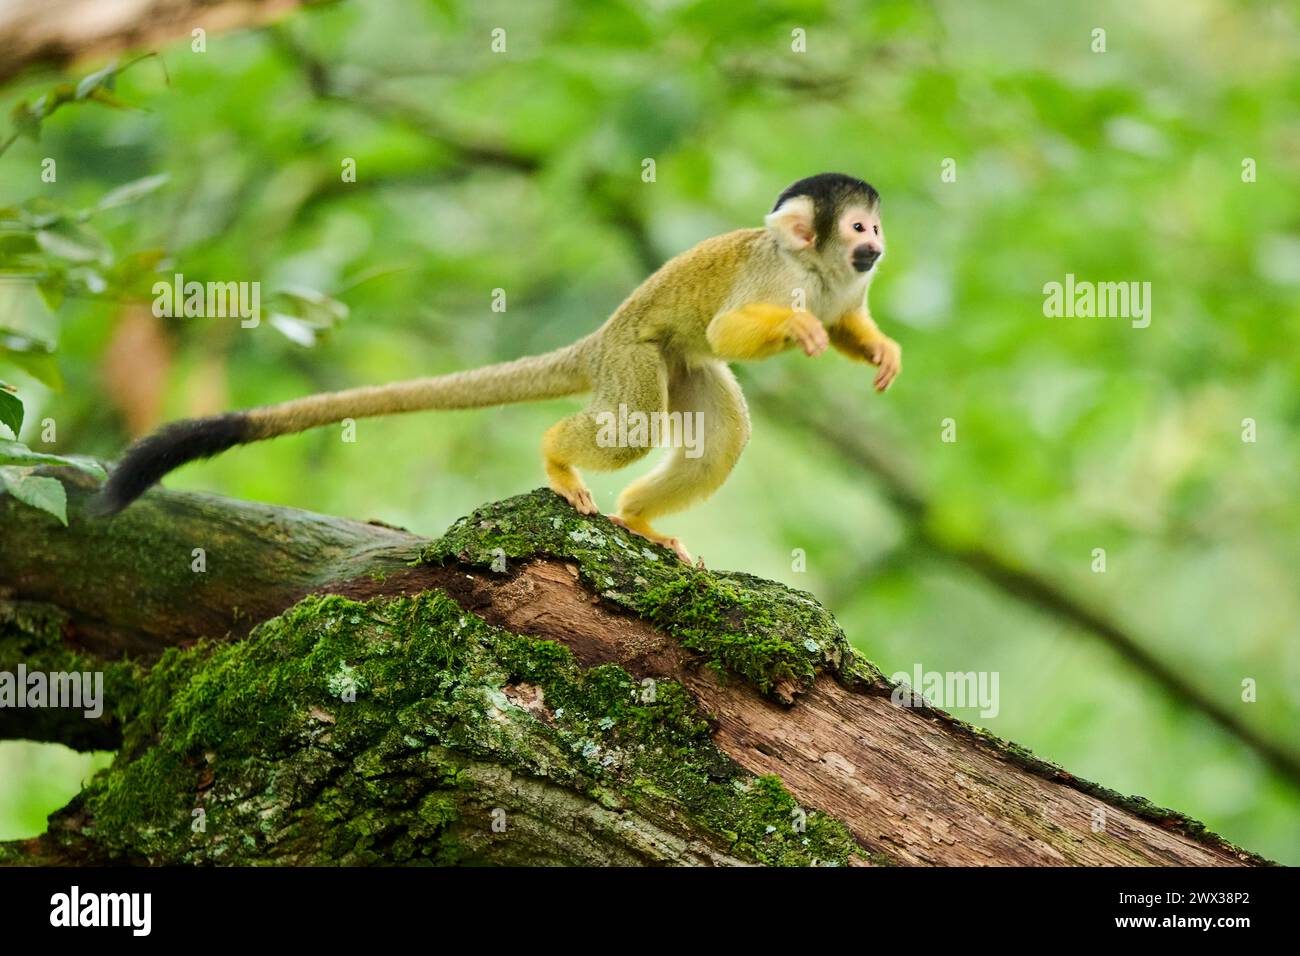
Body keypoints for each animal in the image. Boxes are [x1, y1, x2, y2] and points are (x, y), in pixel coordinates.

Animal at [95, 172, 900, 563]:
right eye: (860, 226)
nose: (878, 246)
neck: (819, 269)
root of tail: (601, 337)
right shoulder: (776, 272)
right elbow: (728, 327)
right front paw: (797, 326)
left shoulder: (844, 285)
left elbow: (843, 322)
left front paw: (876, 347)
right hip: (635, 358)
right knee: (634, 427)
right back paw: (557, 460)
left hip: (674, 366)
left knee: (720, 435)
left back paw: (639, 518)